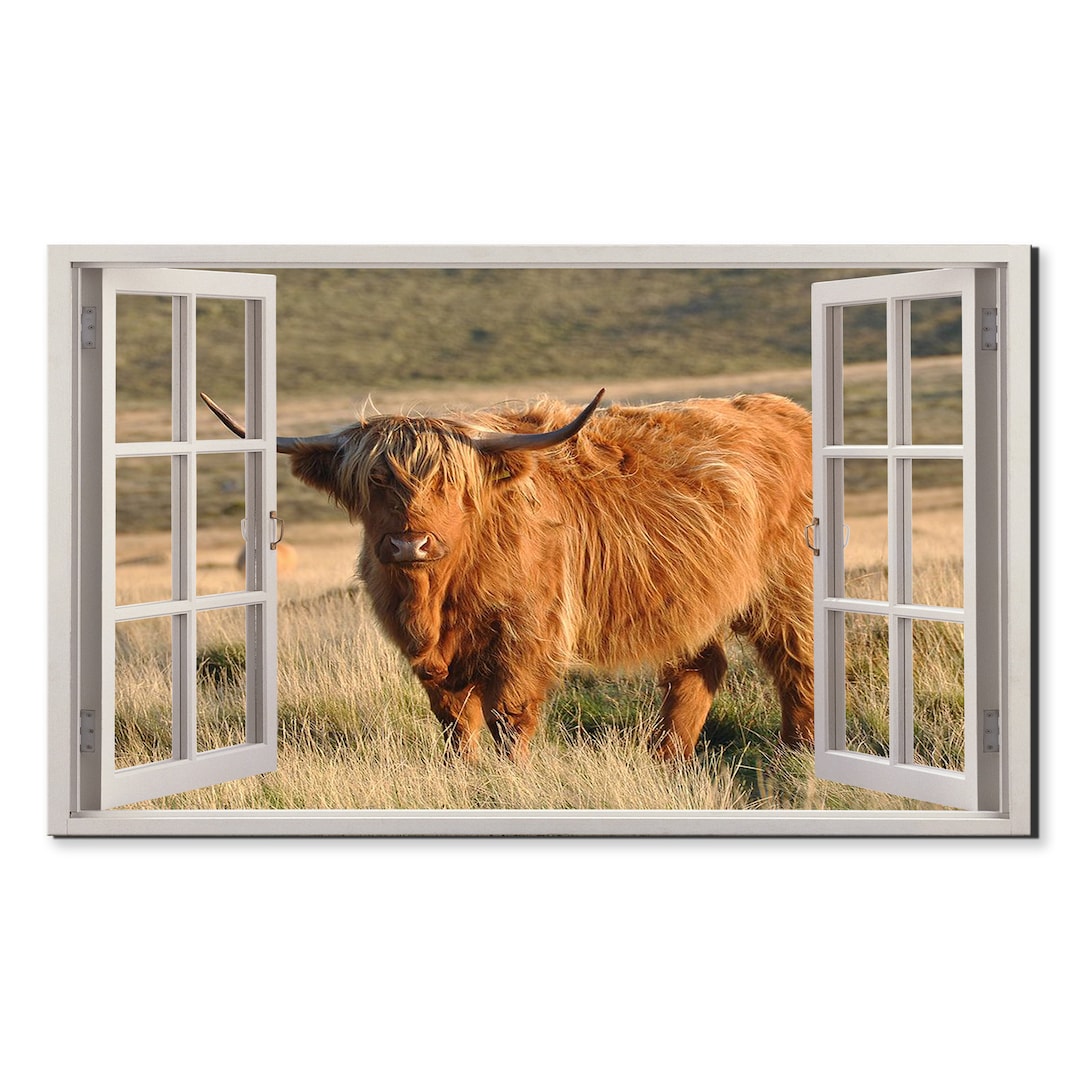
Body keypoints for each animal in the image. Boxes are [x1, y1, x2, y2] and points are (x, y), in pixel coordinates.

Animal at [201, 389, 814, 762]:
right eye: (375, 480)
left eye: (449, 482)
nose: (409, 543)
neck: (436, 597)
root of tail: (787, 411)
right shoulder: (429, 654)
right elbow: (454, 718)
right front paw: (464, 773)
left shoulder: (527, 636)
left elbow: (508, 716)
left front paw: (510, 774)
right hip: (691, 598)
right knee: (699, 668)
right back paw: (665, 760)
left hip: (787, 589)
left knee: (798, 664)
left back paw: (797, 755)